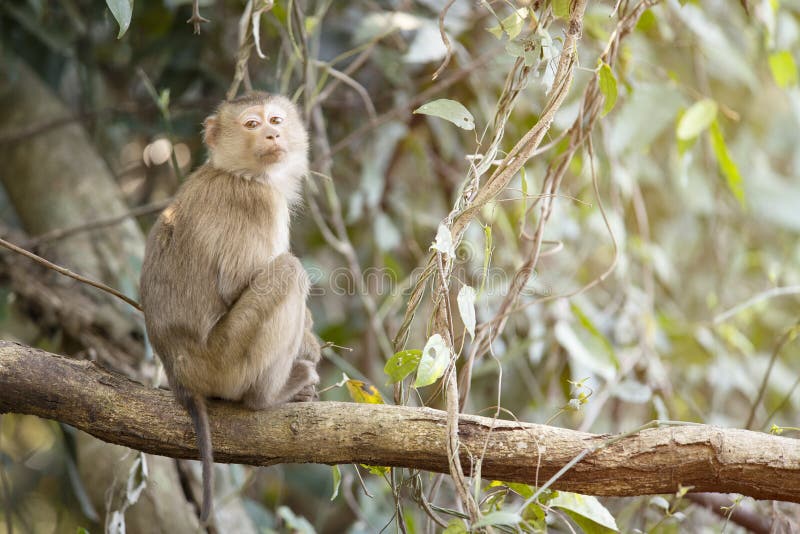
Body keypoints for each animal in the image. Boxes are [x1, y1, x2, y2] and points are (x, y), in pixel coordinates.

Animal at [139, 92, 321, 524]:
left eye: (275, 120)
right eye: (252, 124)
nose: (272, 134)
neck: (239, 173)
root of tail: (179, 371)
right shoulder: (259, 203)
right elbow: (240, 283)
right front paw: (309, 342)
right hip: (224, 361)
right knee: (288, 272)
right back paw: (271, 396)